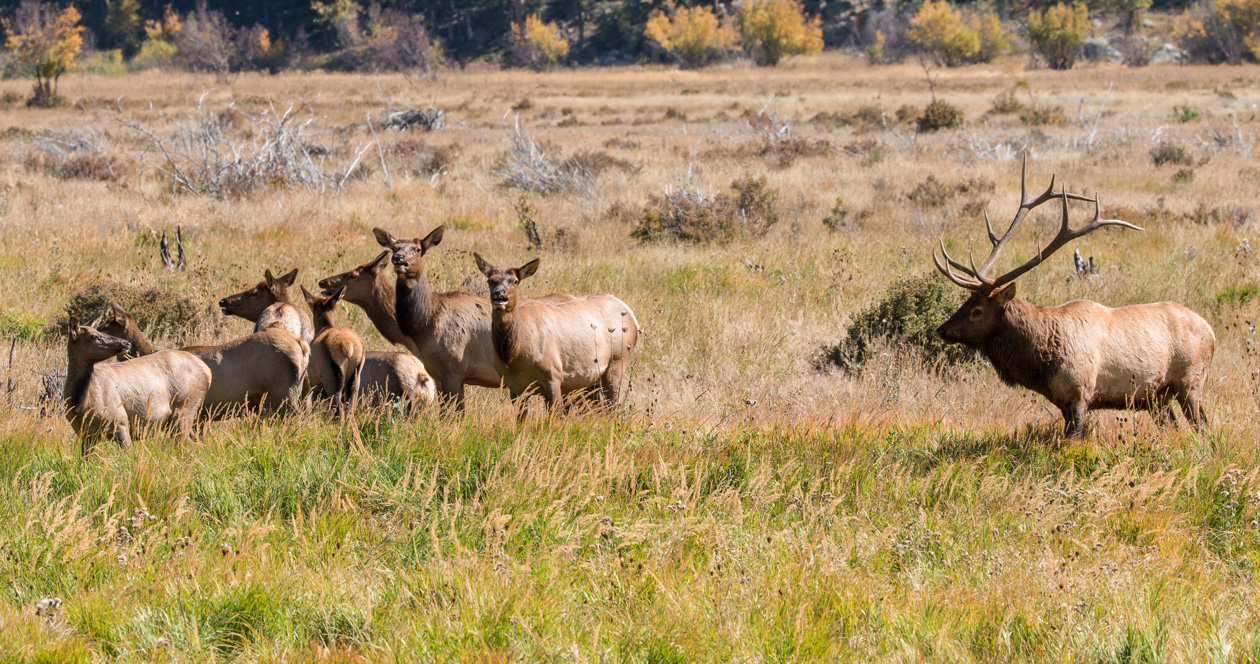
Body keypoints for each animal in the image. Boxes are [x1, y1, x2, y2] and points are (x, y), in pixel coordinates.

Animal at [65, 318, 211, 455]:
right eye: (94, 336)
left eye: (99, 331)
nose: (126, 343)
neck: (81, 403)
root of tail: (207, 371)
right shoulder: (85, 432)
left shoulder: (120, 420)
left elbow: (129, 454)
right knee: (196, 442)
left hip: (185, 407)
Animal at [302, 286, 366, 420]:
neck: (323, 329)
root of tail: (348, 345)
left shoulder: (316, 385)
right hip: (354, 380)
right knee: (349, 409)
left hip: (333, 381)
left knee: (338, 409)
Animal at [372, 226, 575, 409]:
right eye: (394, 247)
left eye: (417, 249)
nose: (399, 259)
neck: (426, 323)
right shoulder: (437, 375)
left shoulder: (454, 371)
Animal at [473, 254, 639, 419]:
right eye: (490, 280)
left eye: (515, 281)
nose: (499, 294)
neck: (513, 356)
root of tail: (632, 317)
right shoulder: (514, 386)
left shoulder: (553, 376)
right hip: (594, 378)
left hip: (618, 361)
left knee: (612, 407)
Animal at [932, 158, 1215, 437]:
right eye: (965, 302)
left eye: (977, 310)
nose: (942, 329)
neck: (1042, 361)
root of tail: (1211, 332)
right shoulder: (1063, 401)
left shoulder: (1080, 392)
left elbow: (1074, 439)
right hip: (1157, 397)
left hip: (1190, 382)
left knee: (1202, 426)